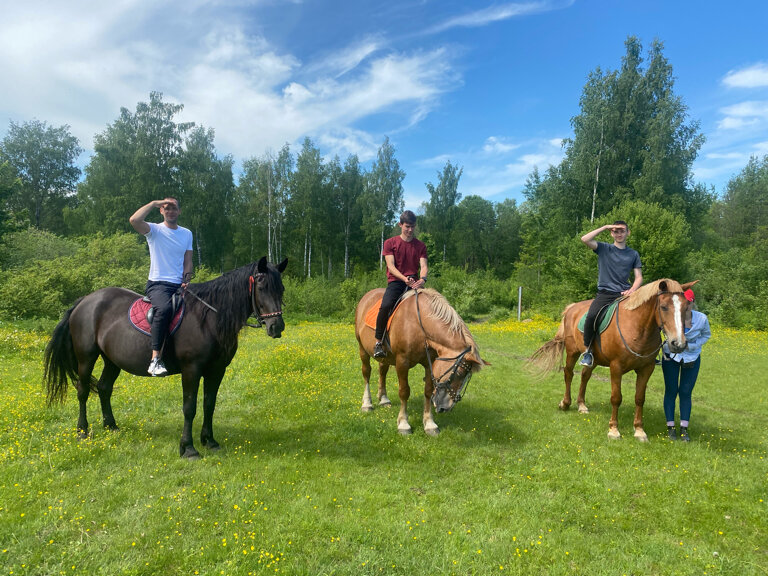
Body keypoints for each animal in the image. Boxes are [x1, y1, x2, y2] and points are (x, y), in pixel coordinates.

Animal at [43, 256, 288, 460]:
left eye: (281, 288)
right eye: (262, 286)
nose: (276, 327)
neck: (208, 318)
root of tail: (85, 301)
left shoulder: (217, 370)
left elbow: (209, 404)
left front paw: (209, 440)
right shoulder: (191, 369)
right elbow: (190, 408)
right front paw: (188, 448)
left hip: (112, 360)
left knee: (104, 388)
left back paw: (111, 426)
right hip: (86, 357)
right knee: (83, 391)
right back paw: (82, 431)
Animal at [354, 288, 486, 436]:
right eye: (459, 373)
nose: (446, 408)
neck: (418, 323)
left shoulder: (430, 363)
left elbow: (428, 391)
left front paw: (430, 424)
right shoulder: (402, 362)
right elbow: (404, 391)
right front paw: (404, 424)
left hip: (385, 357)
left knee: (382, 371)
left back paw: (383, 399)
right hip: (362, 349)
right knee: (366, 373)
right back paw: (367, 403)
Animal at [528, 280, 696, 440]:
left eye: (685, 308)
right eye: (664, 307)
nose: (678, 343)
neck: (638, 328)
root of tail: (571, 307)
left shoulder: (646, 368)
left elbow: (640, 398)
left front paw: (639, 430)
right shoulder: (616, 367)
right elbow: (616, 398)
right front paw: (614, 430)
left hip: (593, 359)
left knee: (585, 375)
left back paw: (581, 405)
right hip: (572, 352)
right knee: (568, 374)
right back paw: (565, 403)